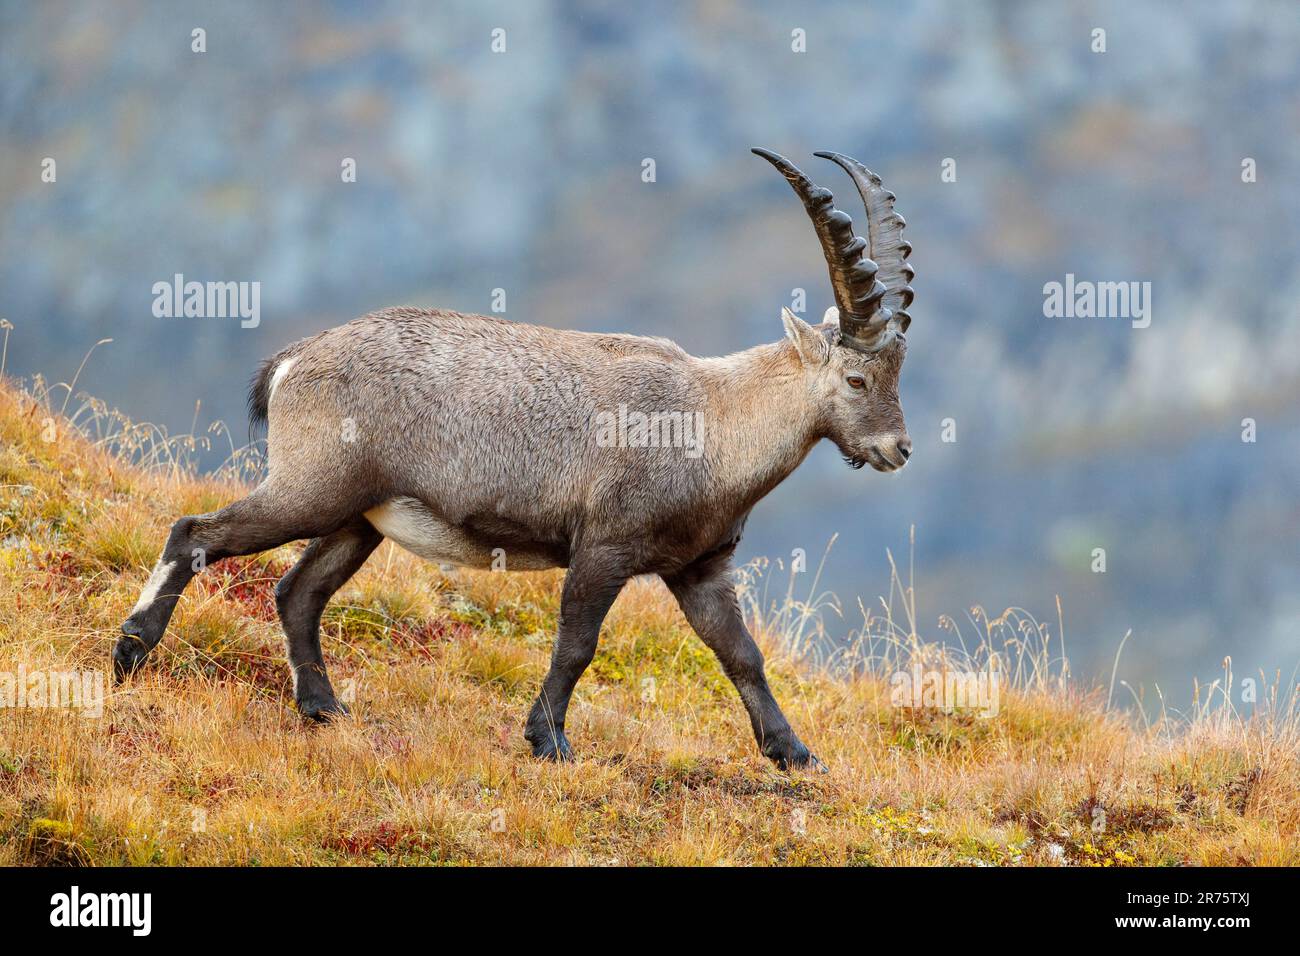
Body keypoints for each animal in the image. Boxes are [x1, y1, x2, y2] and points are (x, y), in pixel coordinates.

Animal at [114, 148, 914, 770]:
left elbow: (740, 653)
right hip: (311, 489)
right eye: (856, 379)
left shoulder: (700, 567)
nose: (897, 449)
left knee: (298, 591)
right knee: (196, 533)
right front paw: (549, 742)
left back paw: (322, 708)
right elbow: (577, 644)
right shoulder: (605, 547)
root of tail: (294, 360)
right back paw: (130, 654)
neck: (713, 421)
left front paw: (795, 753)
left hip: (359, 516)